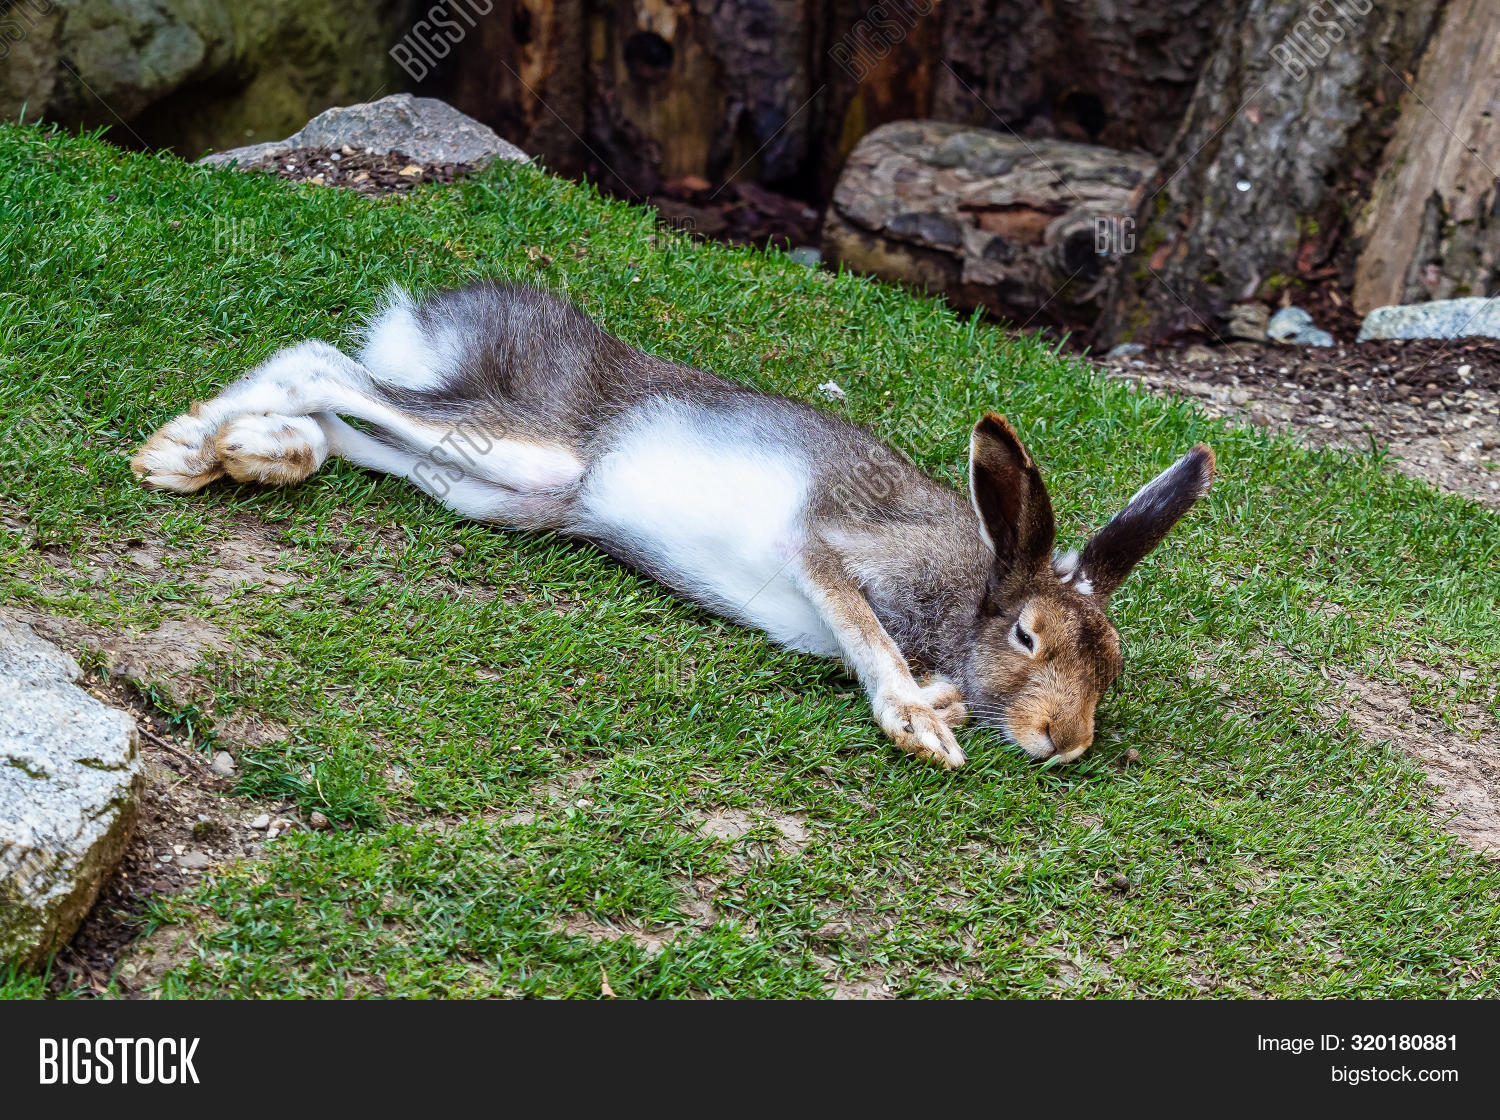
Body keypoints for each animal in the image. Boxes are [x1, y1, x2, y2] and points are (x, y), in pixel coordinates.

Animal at [130, 281, 1214, 769]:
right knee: (323, 365)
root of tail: (431, 321)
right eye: (1028, 636)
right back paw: (184, 450)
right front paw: (916, 721)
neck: (966, 593)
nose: (1063, 742)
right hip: (532, 449)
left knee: (349, 429)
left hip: (506, 493)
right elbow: (865, 633)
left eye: (1112, 668)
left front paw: (937, 707)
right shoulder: (828, 549)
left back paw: (246, 452)